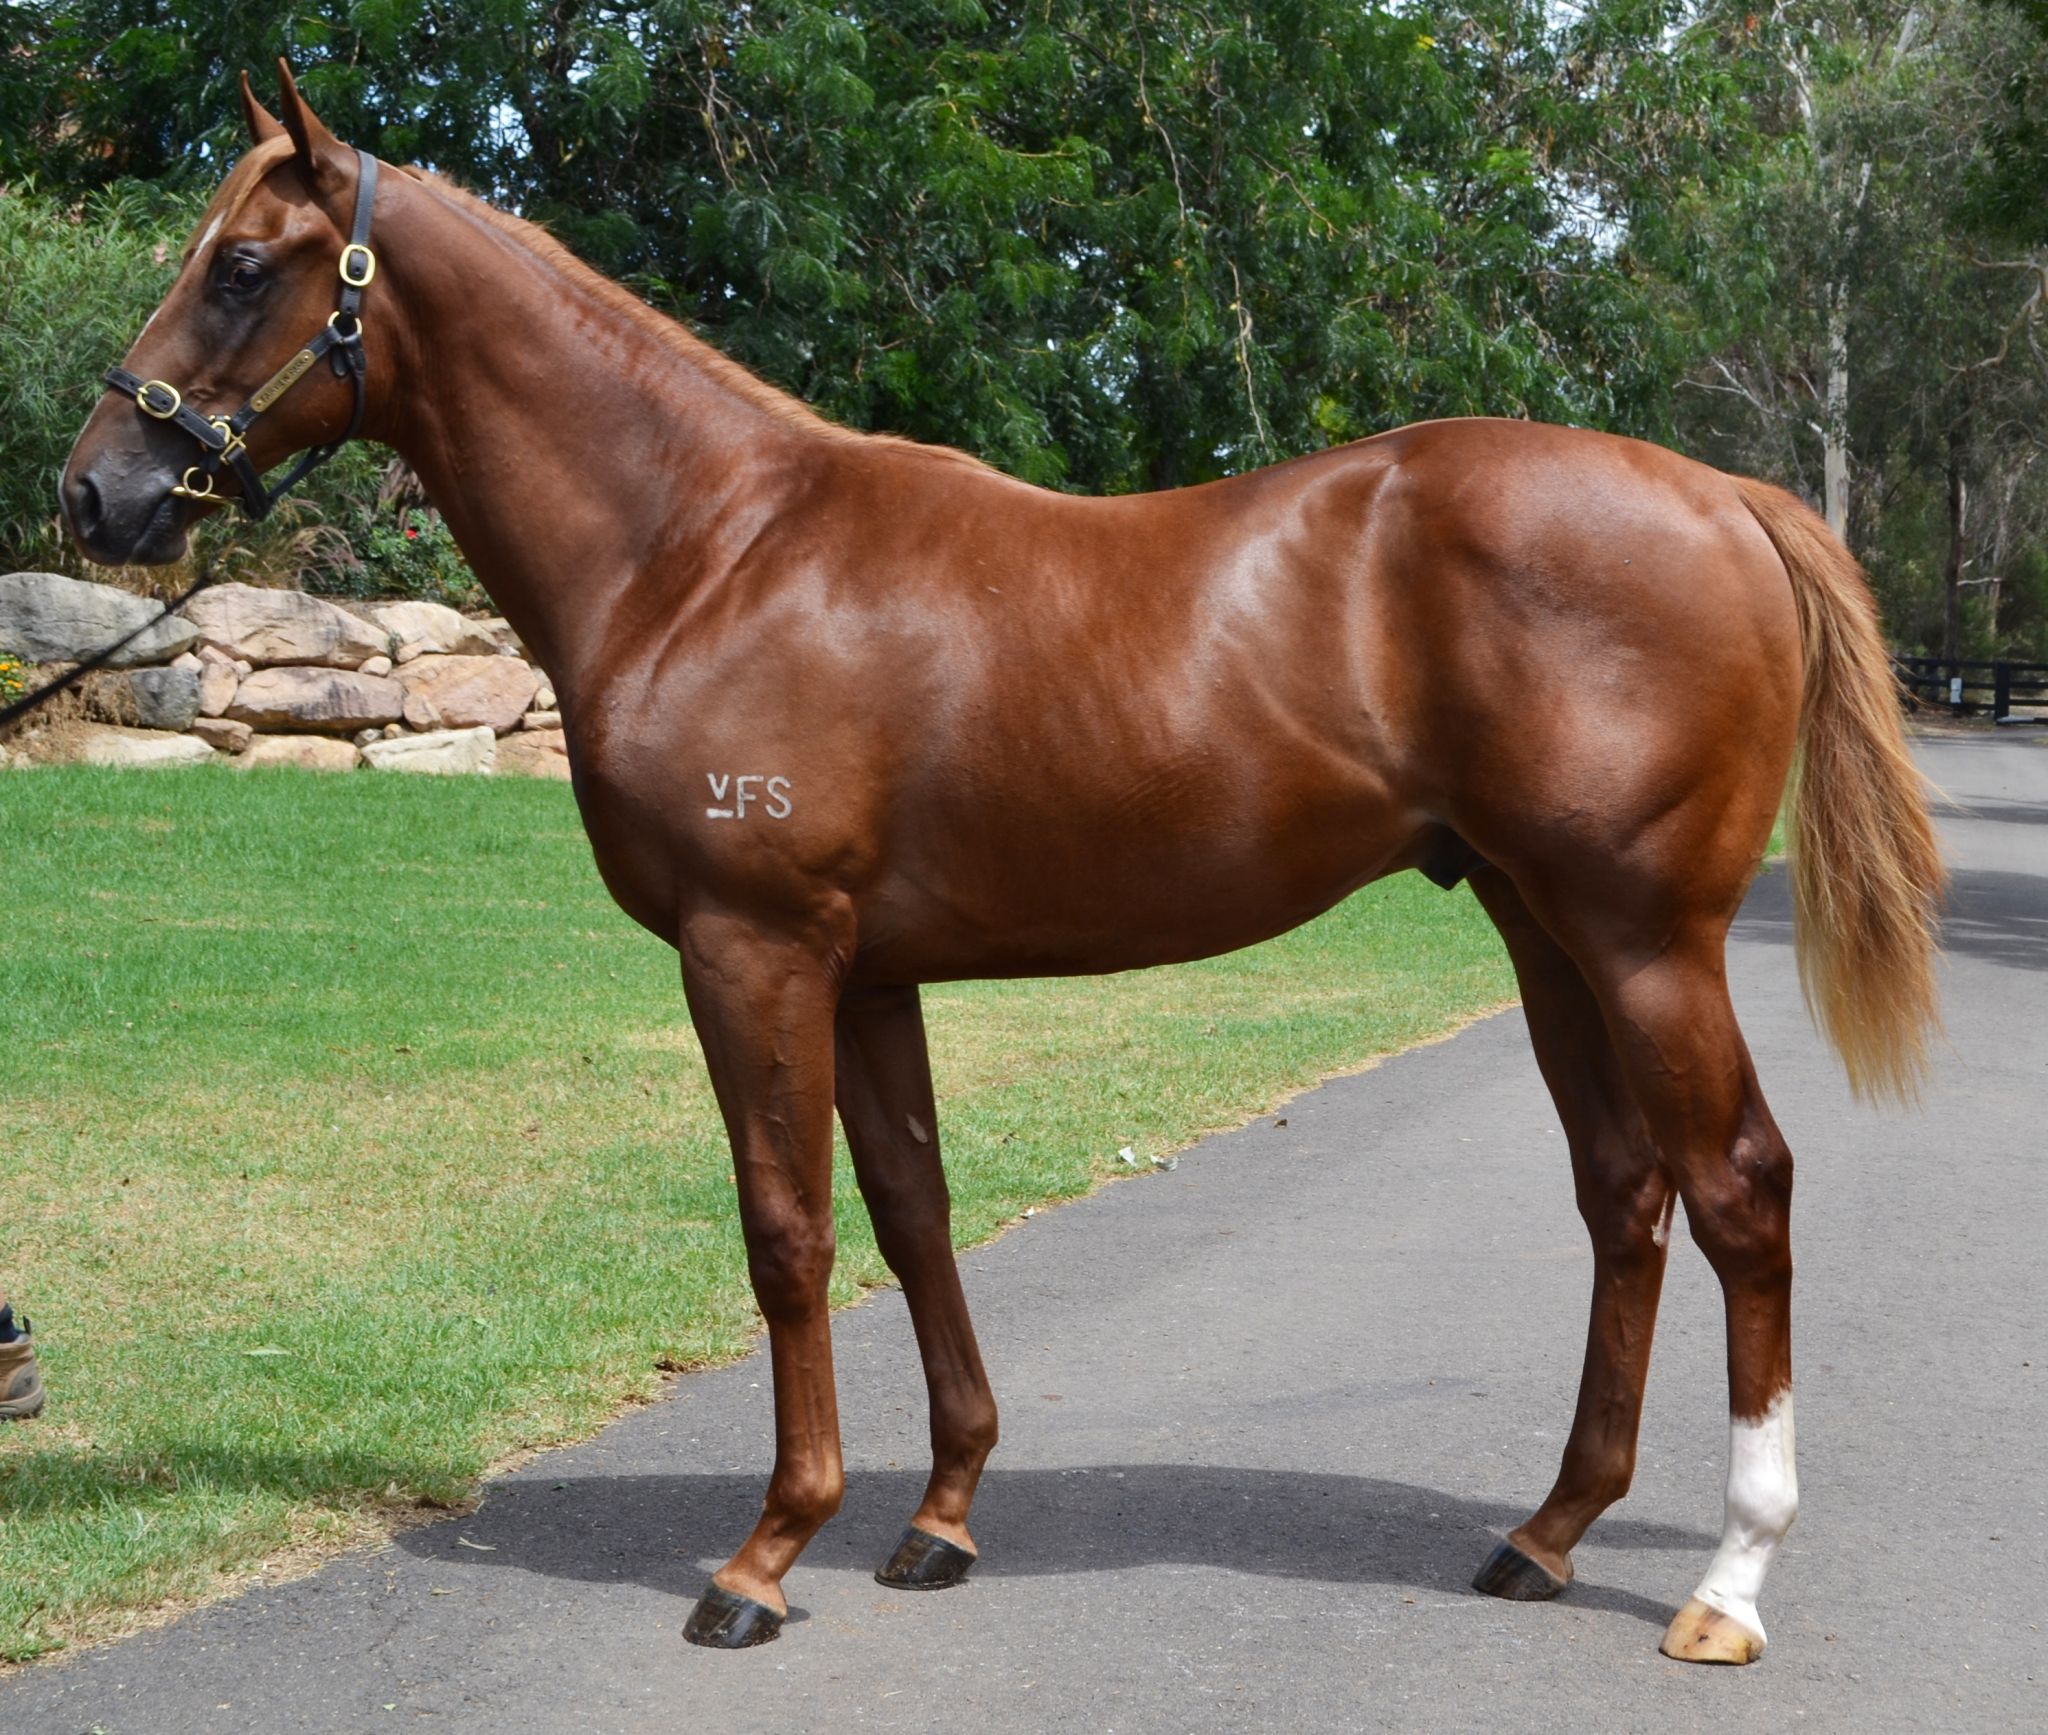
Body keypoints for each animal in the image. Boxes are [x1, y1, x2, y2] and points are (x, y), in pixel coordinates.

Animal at [61, 63, 1942, 1661]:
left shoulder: (753, 948)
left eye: (240, 265)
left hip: (1644, 938)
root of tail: (1721, 494)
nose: (95, 493)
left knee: (1738, 1190)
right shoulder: (868, 969)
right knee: (1623, 1195)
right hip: (1542, 928)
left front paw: (766, 1556)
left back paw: (1725, 1584)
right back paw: (1544, 1534)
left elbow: (787, 1231)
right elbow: (912, 1210)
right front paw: (939, 1514)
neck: (704, 549)